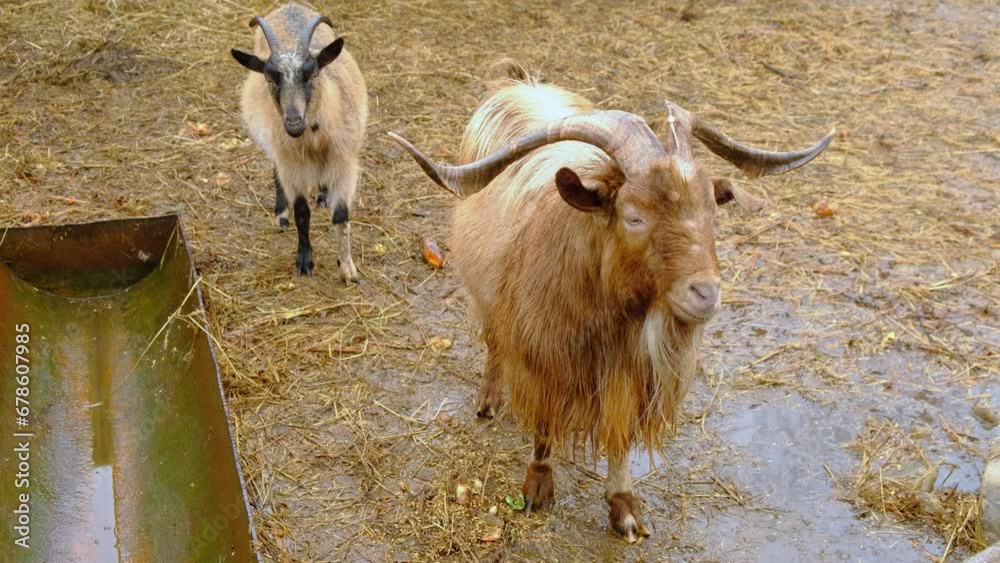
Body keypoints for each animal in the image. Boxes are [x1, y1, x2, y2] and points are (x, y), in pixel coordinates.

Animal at [231, 3, 367, 281]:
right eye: (270, 78)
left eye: (312, 74)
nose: (293, 122)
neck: (315, 139)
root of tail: (290, 6)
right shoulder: (293, 166)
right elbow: (302, 213)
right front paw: (304, 262)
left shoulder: (346, 164)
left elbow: (341, 216)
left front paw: (348, 269)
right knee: (276, 171)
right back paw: (281, 215)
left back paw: (323, 195)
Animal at [390, 71, 832, 542]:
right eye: (634, 216)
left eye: (712, 211)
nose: (705, 294)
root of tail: (521, 86)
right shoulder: (546, 359)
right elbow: (544, 424)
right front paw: (538, 488)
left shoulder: (632, 376)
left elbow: (620, 436)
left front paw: (624, 508)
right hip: (486, 297)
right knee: (493, 344)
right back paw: (488, 401)